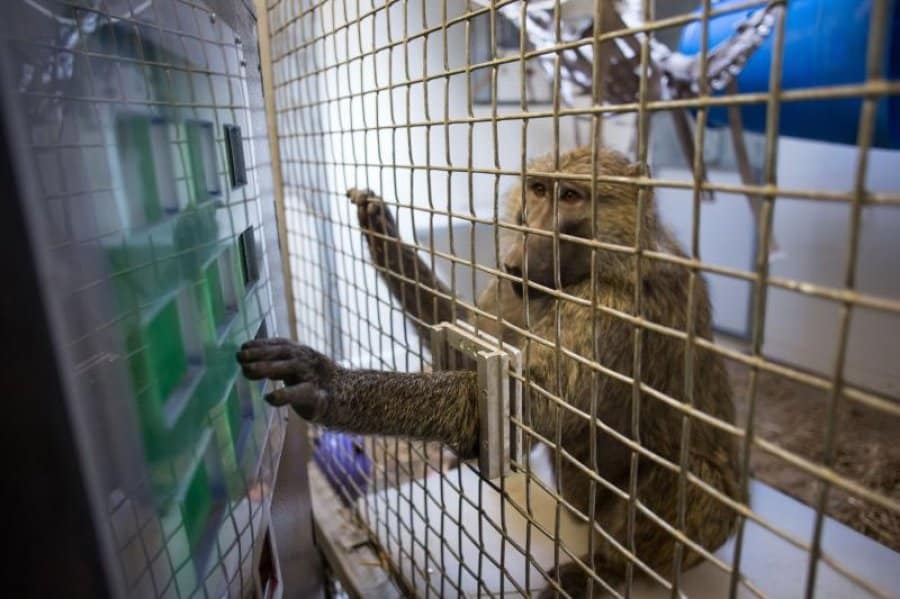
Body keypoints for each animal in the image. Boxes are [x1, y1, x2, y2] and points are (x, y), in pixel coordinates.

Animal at [237, 146, 740, 597]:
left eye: (571, 197)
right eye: (537, 190)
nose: (521, 254)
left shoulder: (612, 306)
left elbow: (528, 405)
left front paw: (328, 384)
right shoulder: (515, 290)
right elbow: (473, 351)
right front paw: (383, 235)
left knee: (694, 483)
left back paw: (608, 570)